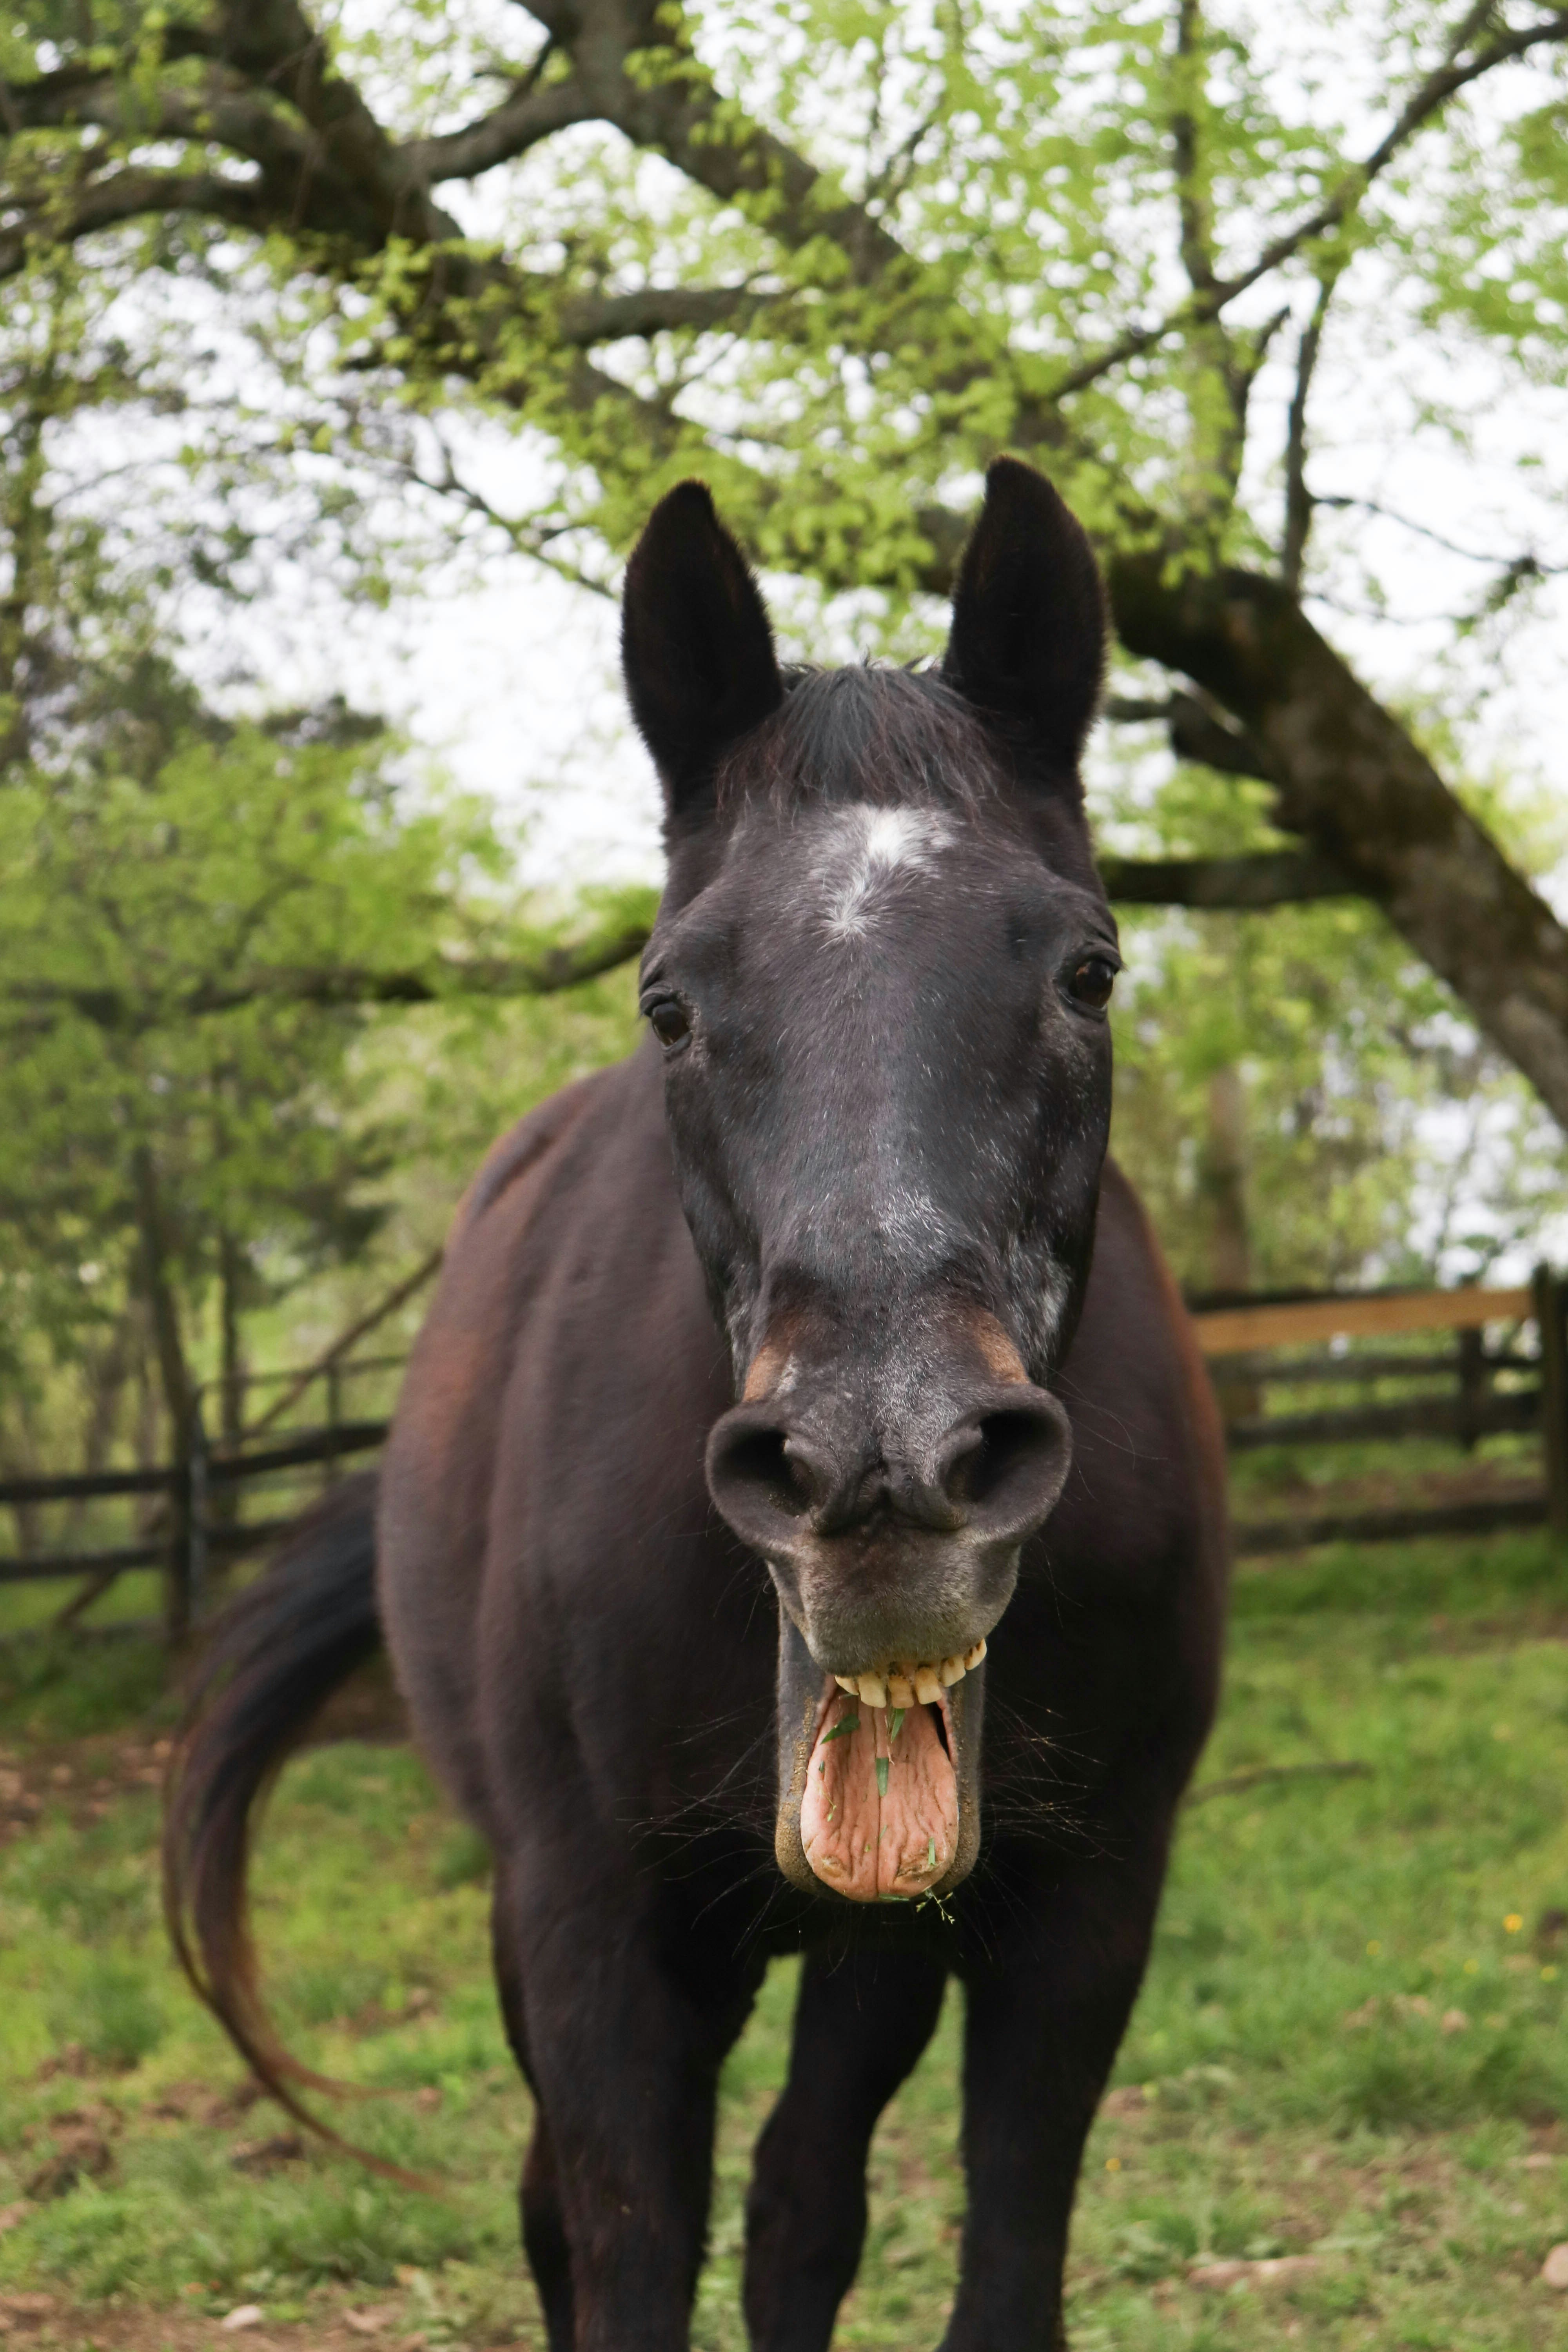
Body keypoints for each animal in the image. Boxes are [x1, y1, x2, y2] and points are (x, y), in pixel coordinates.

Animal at [165, 457, 1228, 2352]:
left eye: (1086, 971)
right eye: (670, 998)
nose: (882, 1469)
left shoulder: (1077, 1911)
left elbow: (960, 2250)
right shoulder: (598, 1932)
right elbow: (619, 2243)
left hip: (869, 1941)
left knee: (802, 2198)